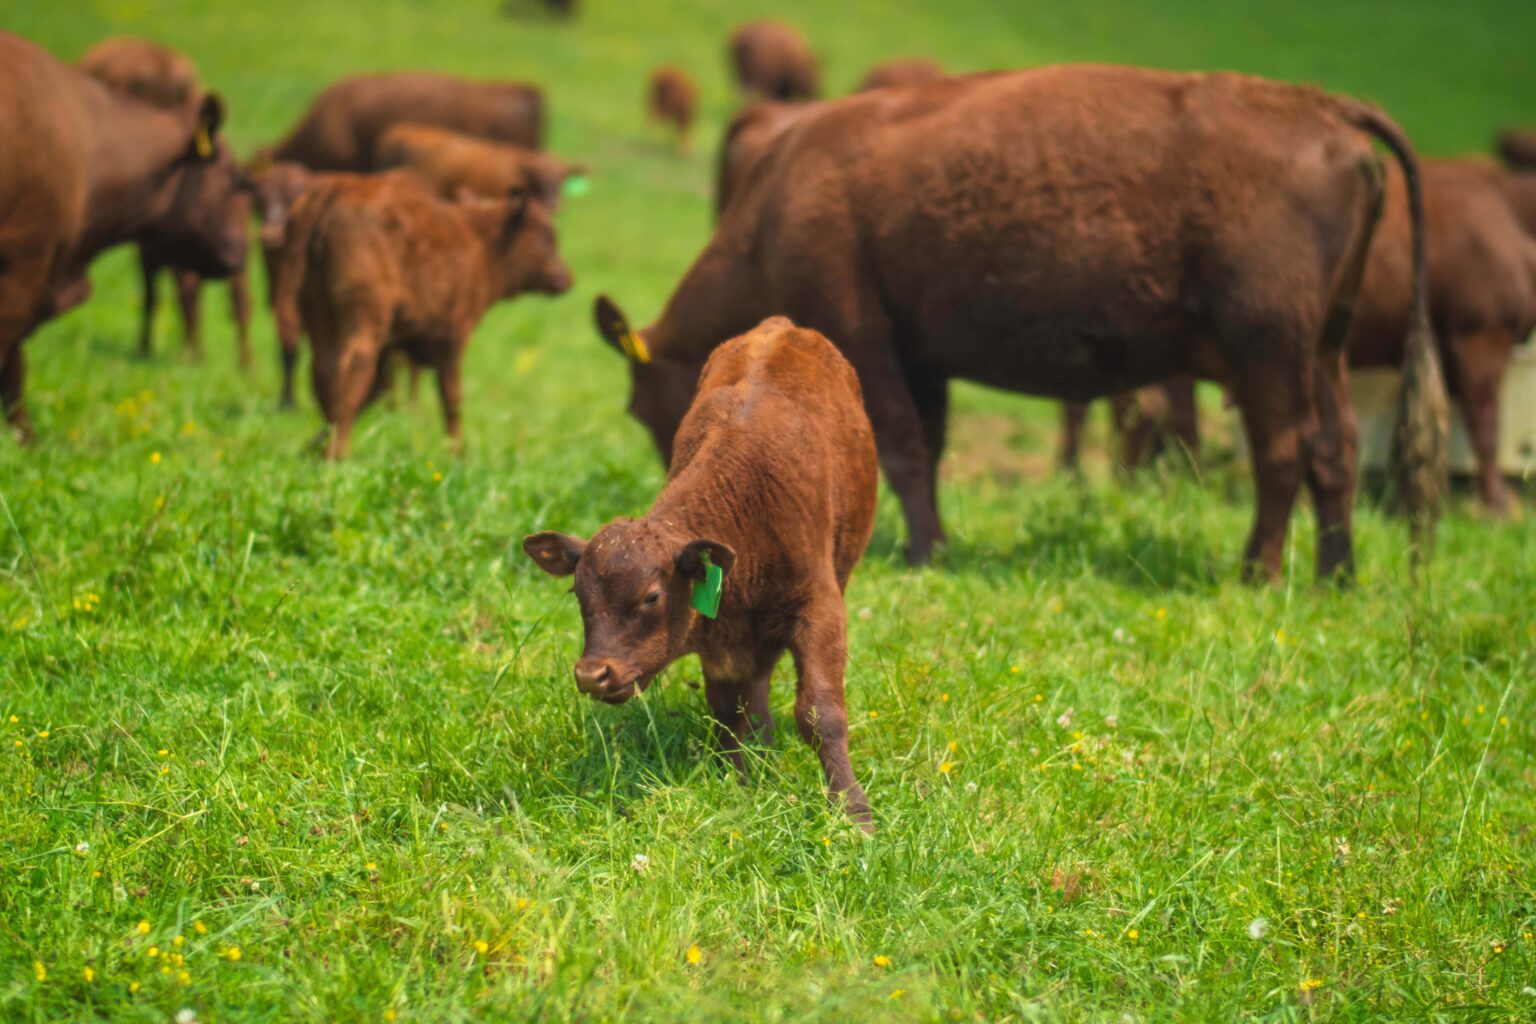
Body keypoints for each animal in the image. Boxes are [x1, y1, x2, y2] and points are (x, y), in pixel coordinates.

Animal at [273, 174, 571, 458]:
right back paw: (338, 453)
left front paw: (311, 445)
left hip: (318, 315)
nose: (566, 278)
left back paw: (325, 446)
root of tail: (334, 190)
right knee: (351, 371)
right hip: (364, 318)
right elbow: (451, 397)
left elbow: (377, 390)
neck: (479, 240)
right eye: (547, 236)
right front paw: (458, 453)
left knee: (324, 375)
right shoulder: (452, 339)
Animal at [524, 316, 880, 826]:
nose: (593, 674)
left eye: (652, 596)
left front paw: (854, 812)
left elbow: (819, 713)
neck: (749, 503)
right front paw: (741, 784)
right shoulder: (721, 640)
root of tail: (781, 326)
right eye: (577, 594)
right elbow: (729, 712)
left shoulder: (820, 609)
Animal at [591, 66, 1447, 583]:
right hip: (1324, 350)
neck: (779, 201)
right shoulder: (919, 356)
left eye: (638, 406)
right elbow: (927, 450)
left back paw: (1257, 573)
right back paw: (1336, 576)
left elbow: (904, 449)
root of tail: (1326, 108)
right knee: (1335, 450)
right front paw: (928, 544)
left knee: (1284, 453)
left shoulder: (868, 341)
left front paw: (924, 552)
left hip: (1268, 347)